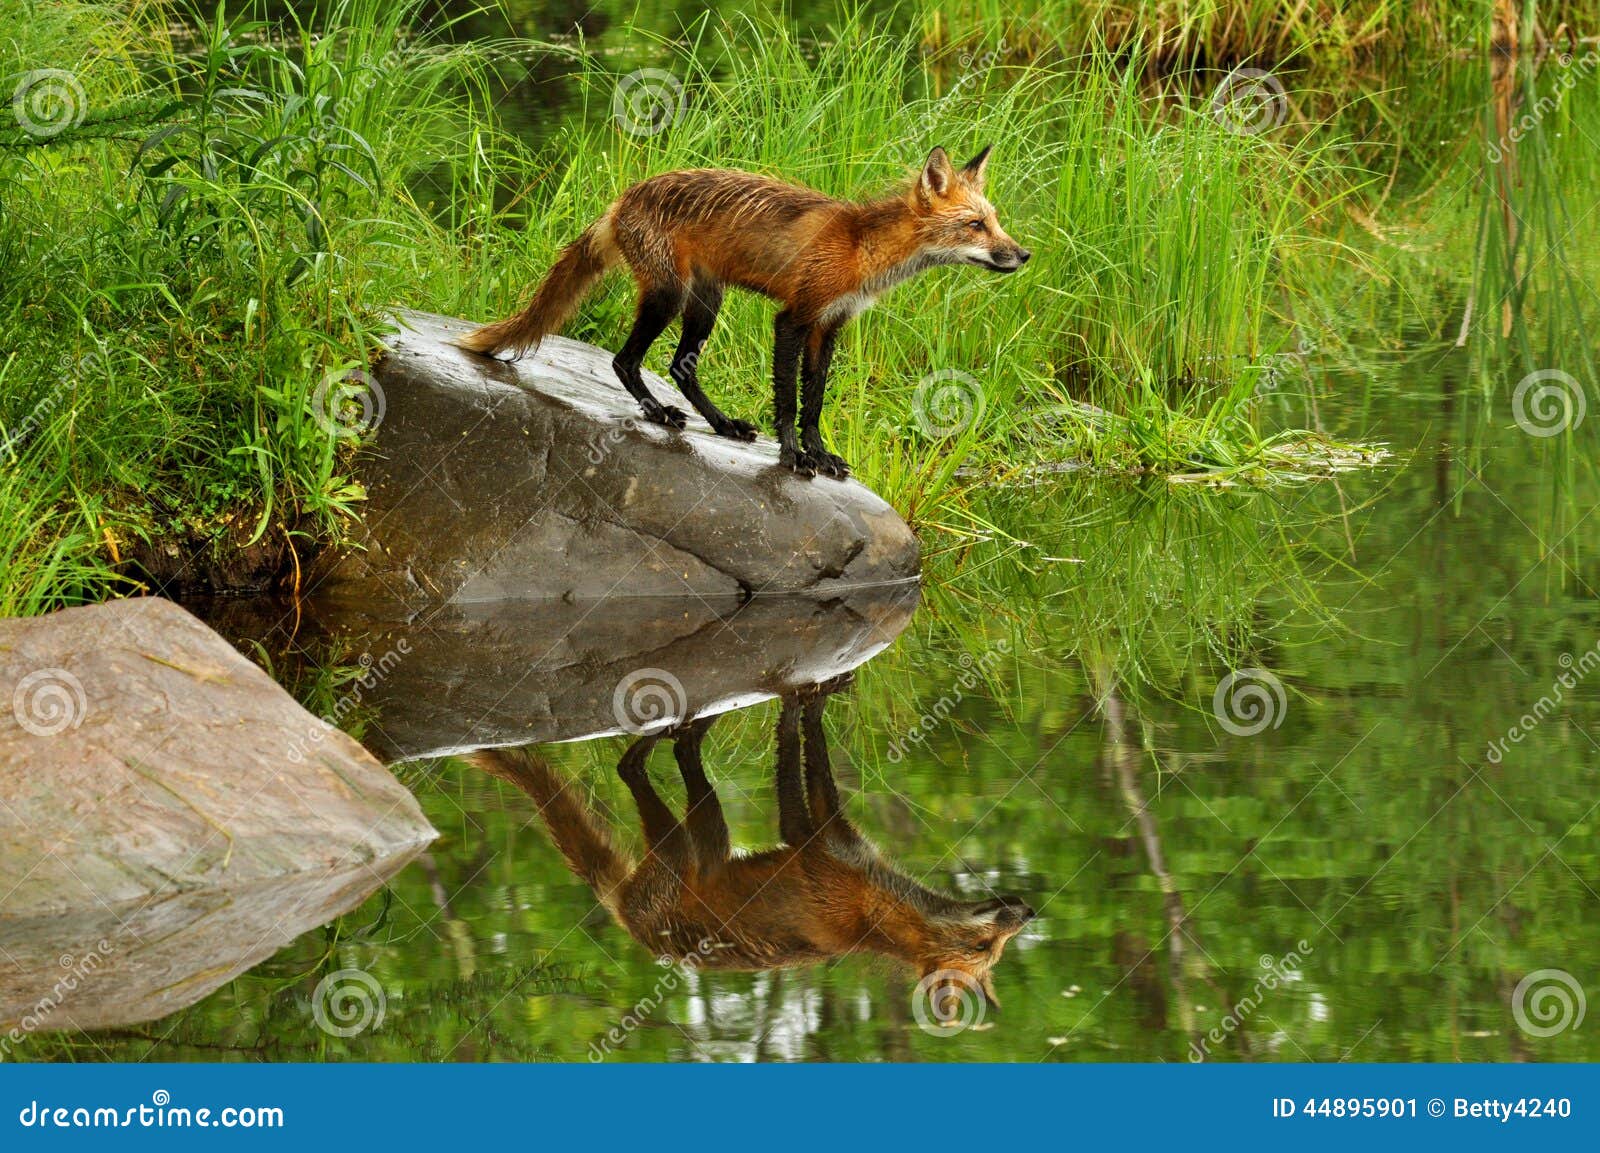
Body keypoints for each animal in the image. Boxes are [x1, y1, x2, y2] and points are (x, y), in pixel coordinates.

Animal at [455, 146, 1031, 478]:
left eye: (996, 221)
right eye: (976, 225)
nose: (1023, 255)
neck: (861, 250)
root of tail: (623, 199)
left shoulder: (829, 326)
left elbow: (814, 403)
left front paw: (820, 454)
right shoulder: (794, 317)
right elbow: (789, 401)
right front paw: (794, 457)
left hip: (706, 305)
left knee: (678, 368)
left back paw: (723, 424)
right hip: (667, 297)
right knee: (624, 360)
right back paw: (657, 412)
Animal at [468, 681, 1034, 1016]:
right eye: (984, 946)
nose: (1030, 912)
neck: (874, 905)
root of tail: (628, 920)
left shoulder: (815, 840)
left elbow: (798, 758)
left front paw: (805, 701)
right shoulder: (825, 842)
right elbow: (807, 746)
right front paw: (813, 696)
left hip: (696, 841)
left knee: (640, 763)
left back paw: (681, 731)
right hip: (698, 841)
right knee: (639, 761)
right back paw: (684, 725)